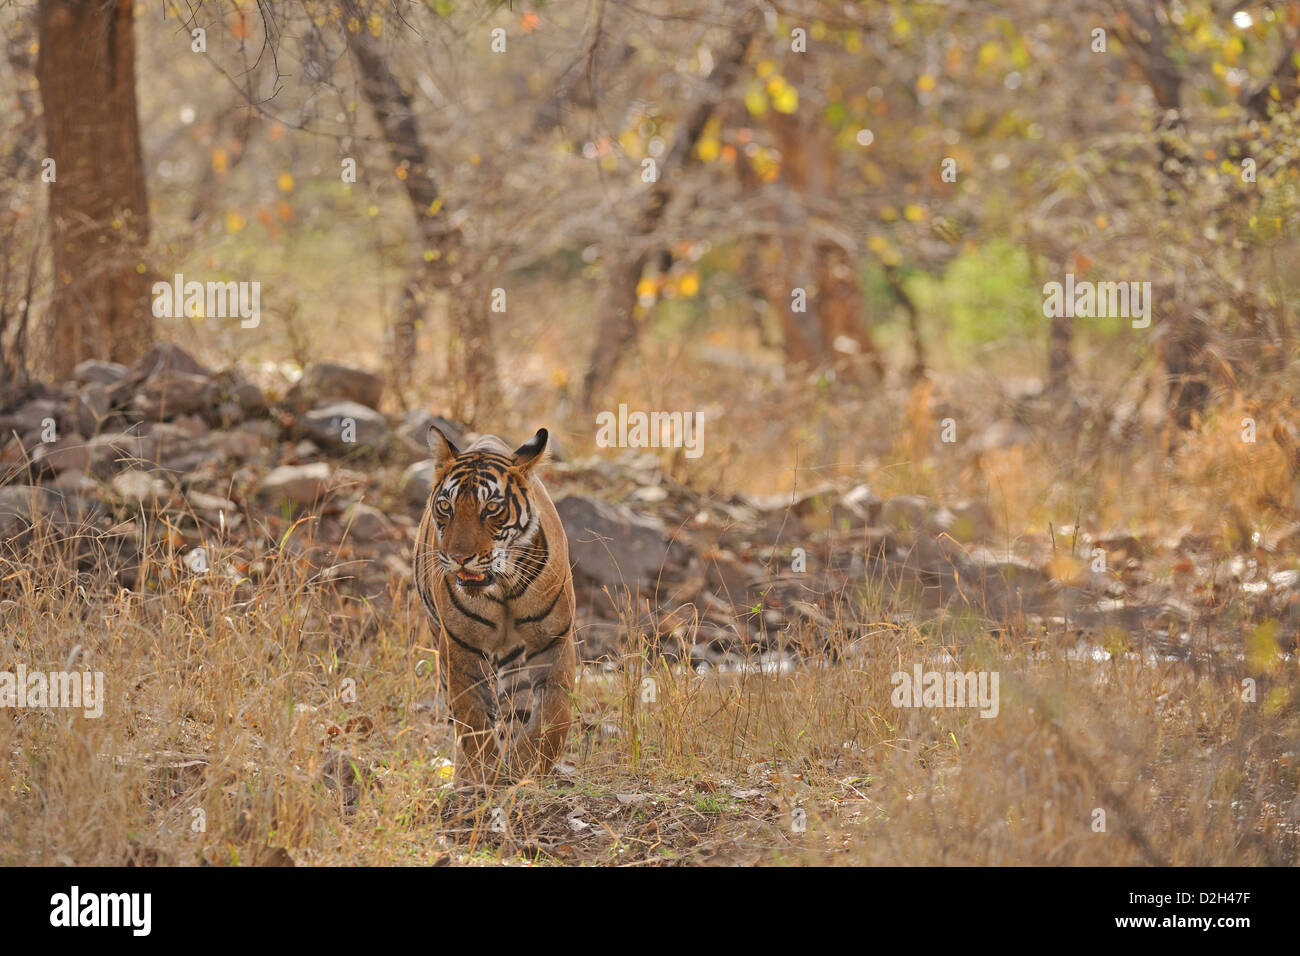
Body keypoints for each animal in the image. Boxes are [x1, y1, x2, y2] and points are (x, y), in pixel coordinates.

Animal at [413, 425, 576, 786]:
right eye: (445, 506)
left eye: (491, 509)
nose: (459, 557)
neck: (503, 589)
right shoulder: (461, 647)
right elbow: (472, 717)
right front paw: (479, 775)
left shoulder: (555, 639)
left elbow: (556, 711)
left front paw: (529, 766)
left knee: (517, 707)